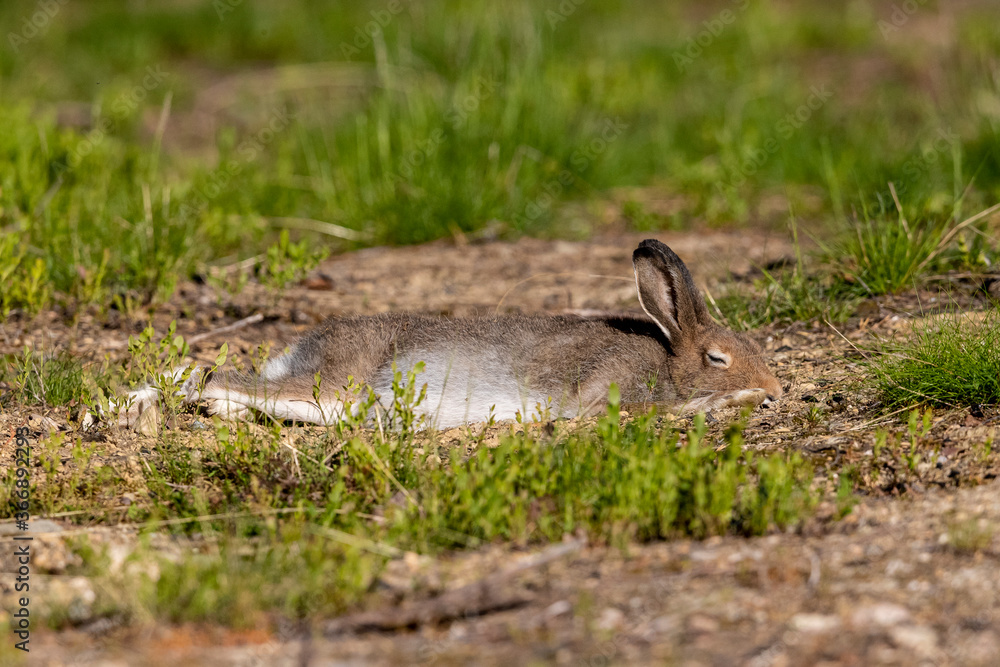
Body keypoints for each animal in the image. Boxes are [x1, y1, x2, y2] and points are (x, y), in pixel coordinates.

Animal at [108, 239, 782, 430]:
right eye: (718, 357)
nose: (776, 390)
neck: (667, 361)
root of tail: (303, 350)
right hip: (335, 387)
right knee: (217, 377)